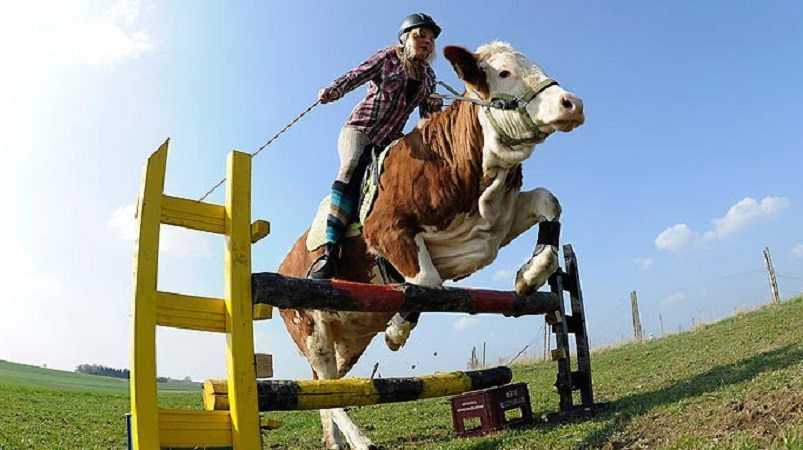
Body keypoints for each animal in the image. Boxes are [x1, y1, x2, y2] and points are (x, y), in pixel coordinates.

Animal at [277, 42, 584, 449]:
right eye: (503, 73)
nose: (572, 103)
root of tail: (283, 265)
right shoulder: (386, 232)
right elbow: (425, 281)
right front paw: (396, 331)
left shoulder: (492, 225)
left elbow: (548, 203)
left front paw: (529, 275)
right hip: (312, 331)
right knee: (326, 387)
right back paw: (360, 440)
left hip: (350, 338)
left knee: (324, 387)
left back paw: (336, 441)